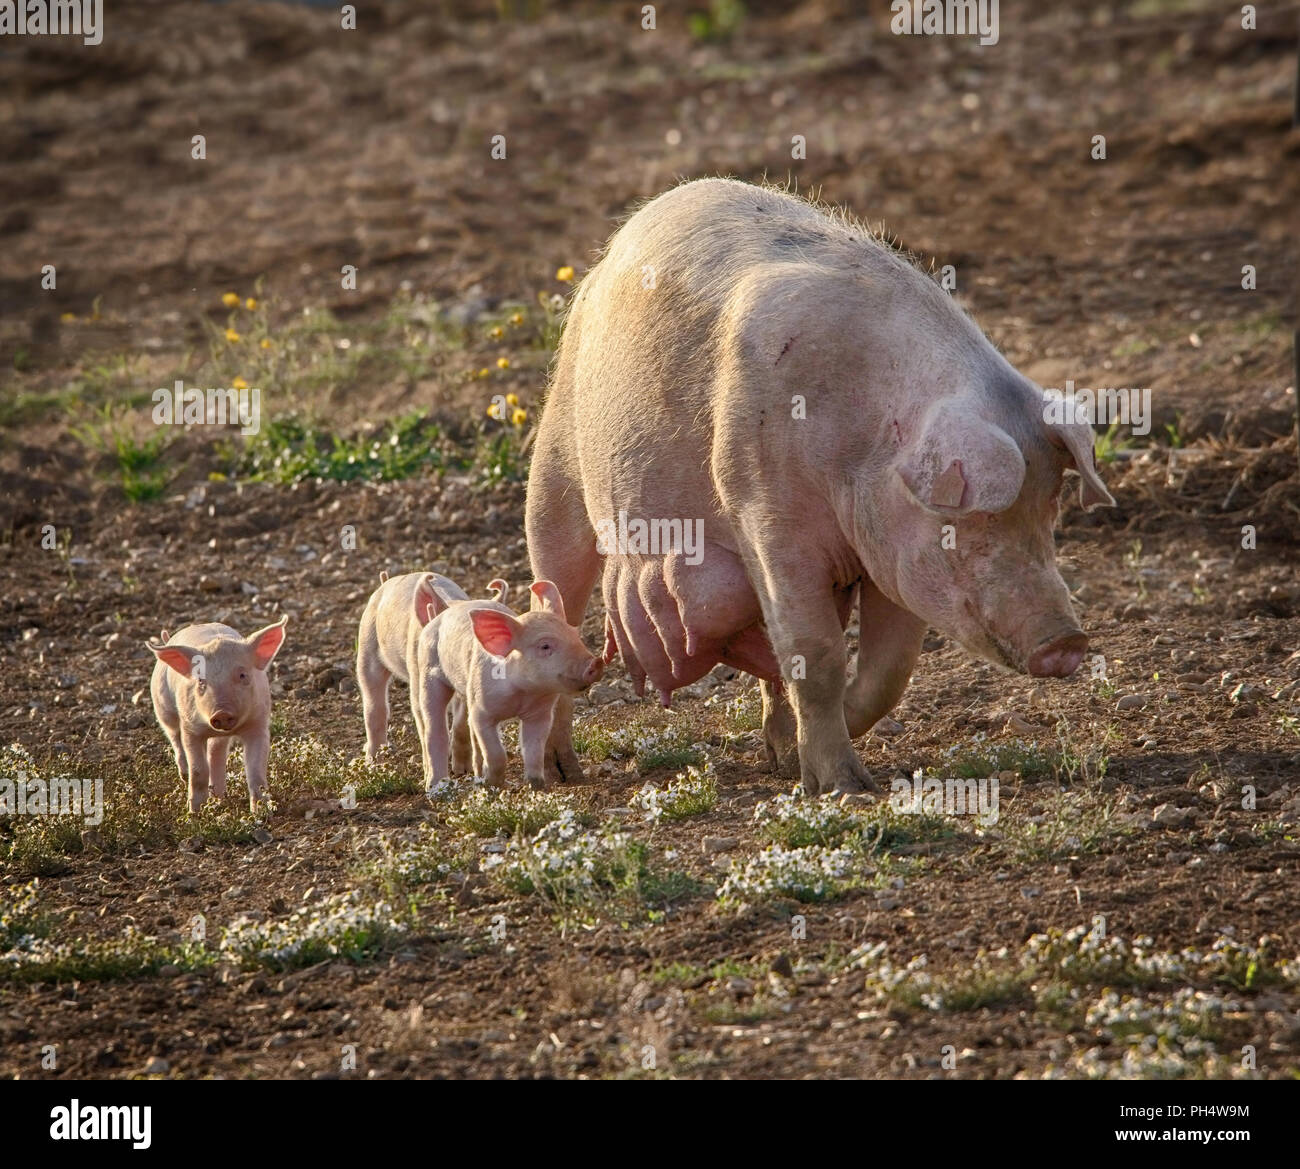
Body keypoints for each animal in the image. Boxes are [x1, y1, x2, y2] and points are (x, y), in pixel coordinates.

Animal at [147, 616, 288, 813]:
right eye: (201, 681)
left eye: (242, 675)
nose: (221, 712)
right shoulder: (190, 727)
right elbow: (198, 770)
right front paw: (195, 812)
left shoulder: (258, 724)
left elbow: (255, 770)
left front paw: (262, 811)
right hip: (163, 708)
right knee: (175, 737)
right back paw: (186, 777)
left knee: (216, 752)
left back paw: (219, 797)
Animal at [356, 571, 507, 769]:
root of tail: (385, 583)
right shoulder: (417, 670)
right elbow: (420, 712)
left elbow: (462, 721)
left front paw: (462, 769)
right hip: (367, 645)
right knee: (374, 704)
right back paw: (373, 760)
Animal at [414, 581, 604, 789]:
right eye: (545, 646)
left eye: (575, 635)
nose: (596, 663)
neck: (522, 693)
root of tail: (440, 614)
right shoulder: (482, 709)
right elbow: (496, 753)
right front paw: (493, 785)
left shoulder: (540, 714)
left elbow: (533, 751)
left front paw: (537, 786)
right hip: (428, 672)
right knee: (434, 729)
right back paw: (436, 786)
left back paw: (474, 774)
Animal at [525, 177, 1115, 796]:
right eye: (964, 519)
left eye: (1050, 507)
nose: (1067, 643)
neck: (862, 442)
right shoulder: (765, 513)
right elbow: (818, 653)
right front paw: (843, 787)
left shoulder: (891, 559)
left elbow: (890, 669)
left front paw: (809, 757)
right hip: (557, 457)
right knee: (557, 596)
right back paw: (560, 774)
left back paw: (778, 752)